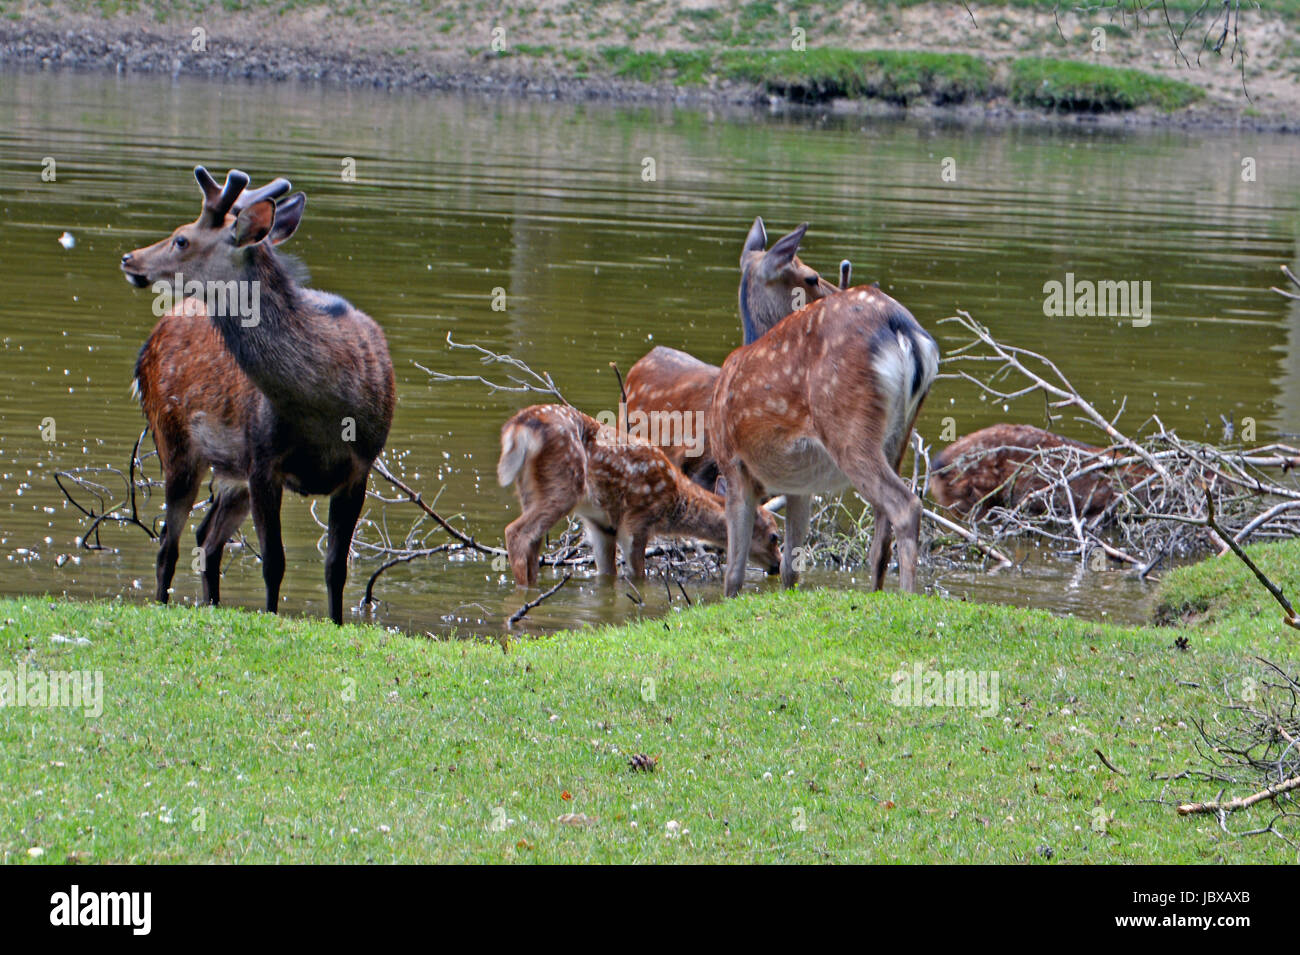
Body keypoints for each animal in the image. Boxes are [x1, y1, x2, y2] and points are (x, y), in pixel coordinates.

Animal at [121, 167, 396, 625]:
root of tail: (147, 347)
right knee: (167, 545)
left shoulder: (360, 465)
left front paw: (337, 622)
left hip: (232, 472)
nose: (130, 258)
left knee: (206, 537)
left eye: (181, 239)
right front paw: (271, 616)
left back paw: (211, 604)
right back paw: (163, 604)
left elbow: (336, 567)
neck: (325, 407)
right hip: (174, 440)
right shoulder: (264, 459)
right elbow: (274, 562)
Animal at [497, 404, 782, 586]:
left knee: (531, 541)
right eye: (774, 536)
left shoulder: (602, 525)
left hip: (529, 488)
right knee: (516, 533)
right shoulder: (638, 520)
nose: (778, 565)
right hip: (564, 485)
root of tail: (518, 427)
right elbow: (638, 573)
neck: (674, 501)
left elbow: (607, 574)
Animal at [709, 284, 940, 598]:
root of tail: (902, 327)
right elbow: (791, 566)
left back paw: (906, 596)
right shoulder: (798, 485)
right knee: (882, 536)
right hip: (899, 437)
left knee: (905, 505)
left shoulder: (733, 464)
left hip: (847, 426)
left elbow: (734, 572)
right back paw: (877, 594)